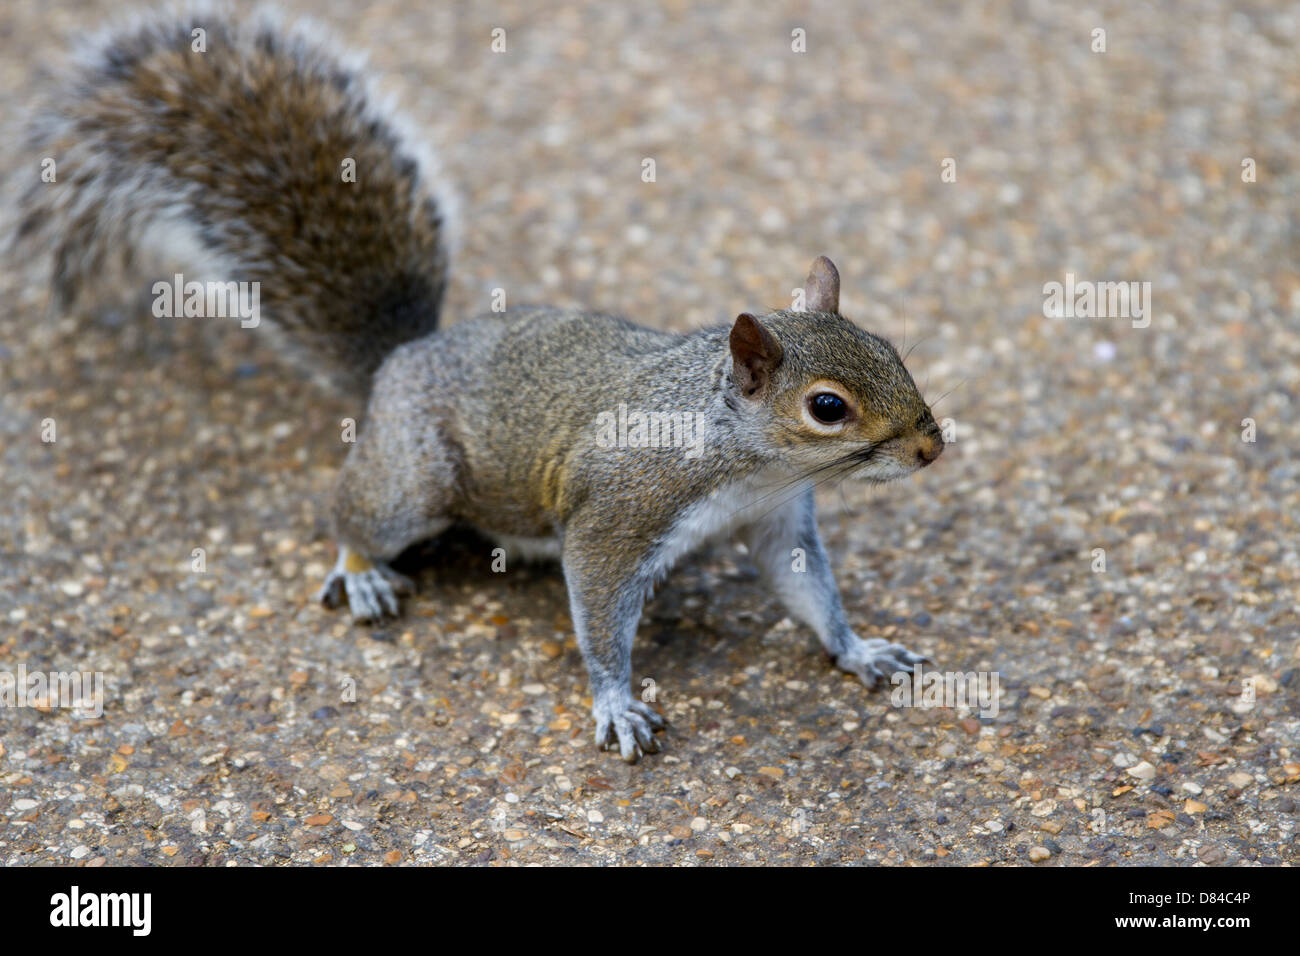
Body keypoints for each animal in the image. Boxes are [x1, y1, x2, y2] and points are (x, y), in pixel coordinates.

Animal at [10, 8, 945, 762]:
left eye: (890, 349)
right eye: (827, 407)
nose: (934, 448)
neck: (744, 458)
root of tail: (401, 359)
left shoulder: (779, 517)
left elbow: (805, 588)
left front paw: (860, 650)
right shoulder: (618, 513)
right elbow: (600, 612)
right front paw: (617, 702)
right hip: (415, 482)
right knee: (356, 514)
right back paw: (362, 570)